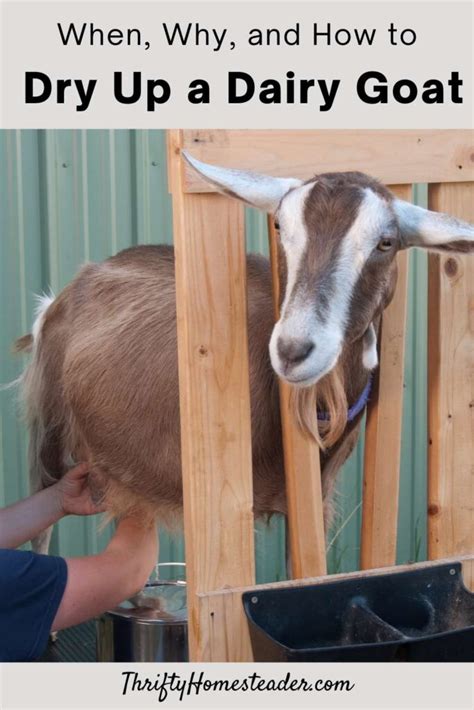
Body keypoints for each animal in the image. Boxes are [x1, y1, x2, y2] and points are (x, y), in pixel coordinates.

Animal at [16, 154, 474, 556]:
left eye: (386, 242)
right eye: (279, 225)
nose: (293, 350)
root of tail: (66, 292)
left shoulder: (312, 500)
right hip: (50, 432)